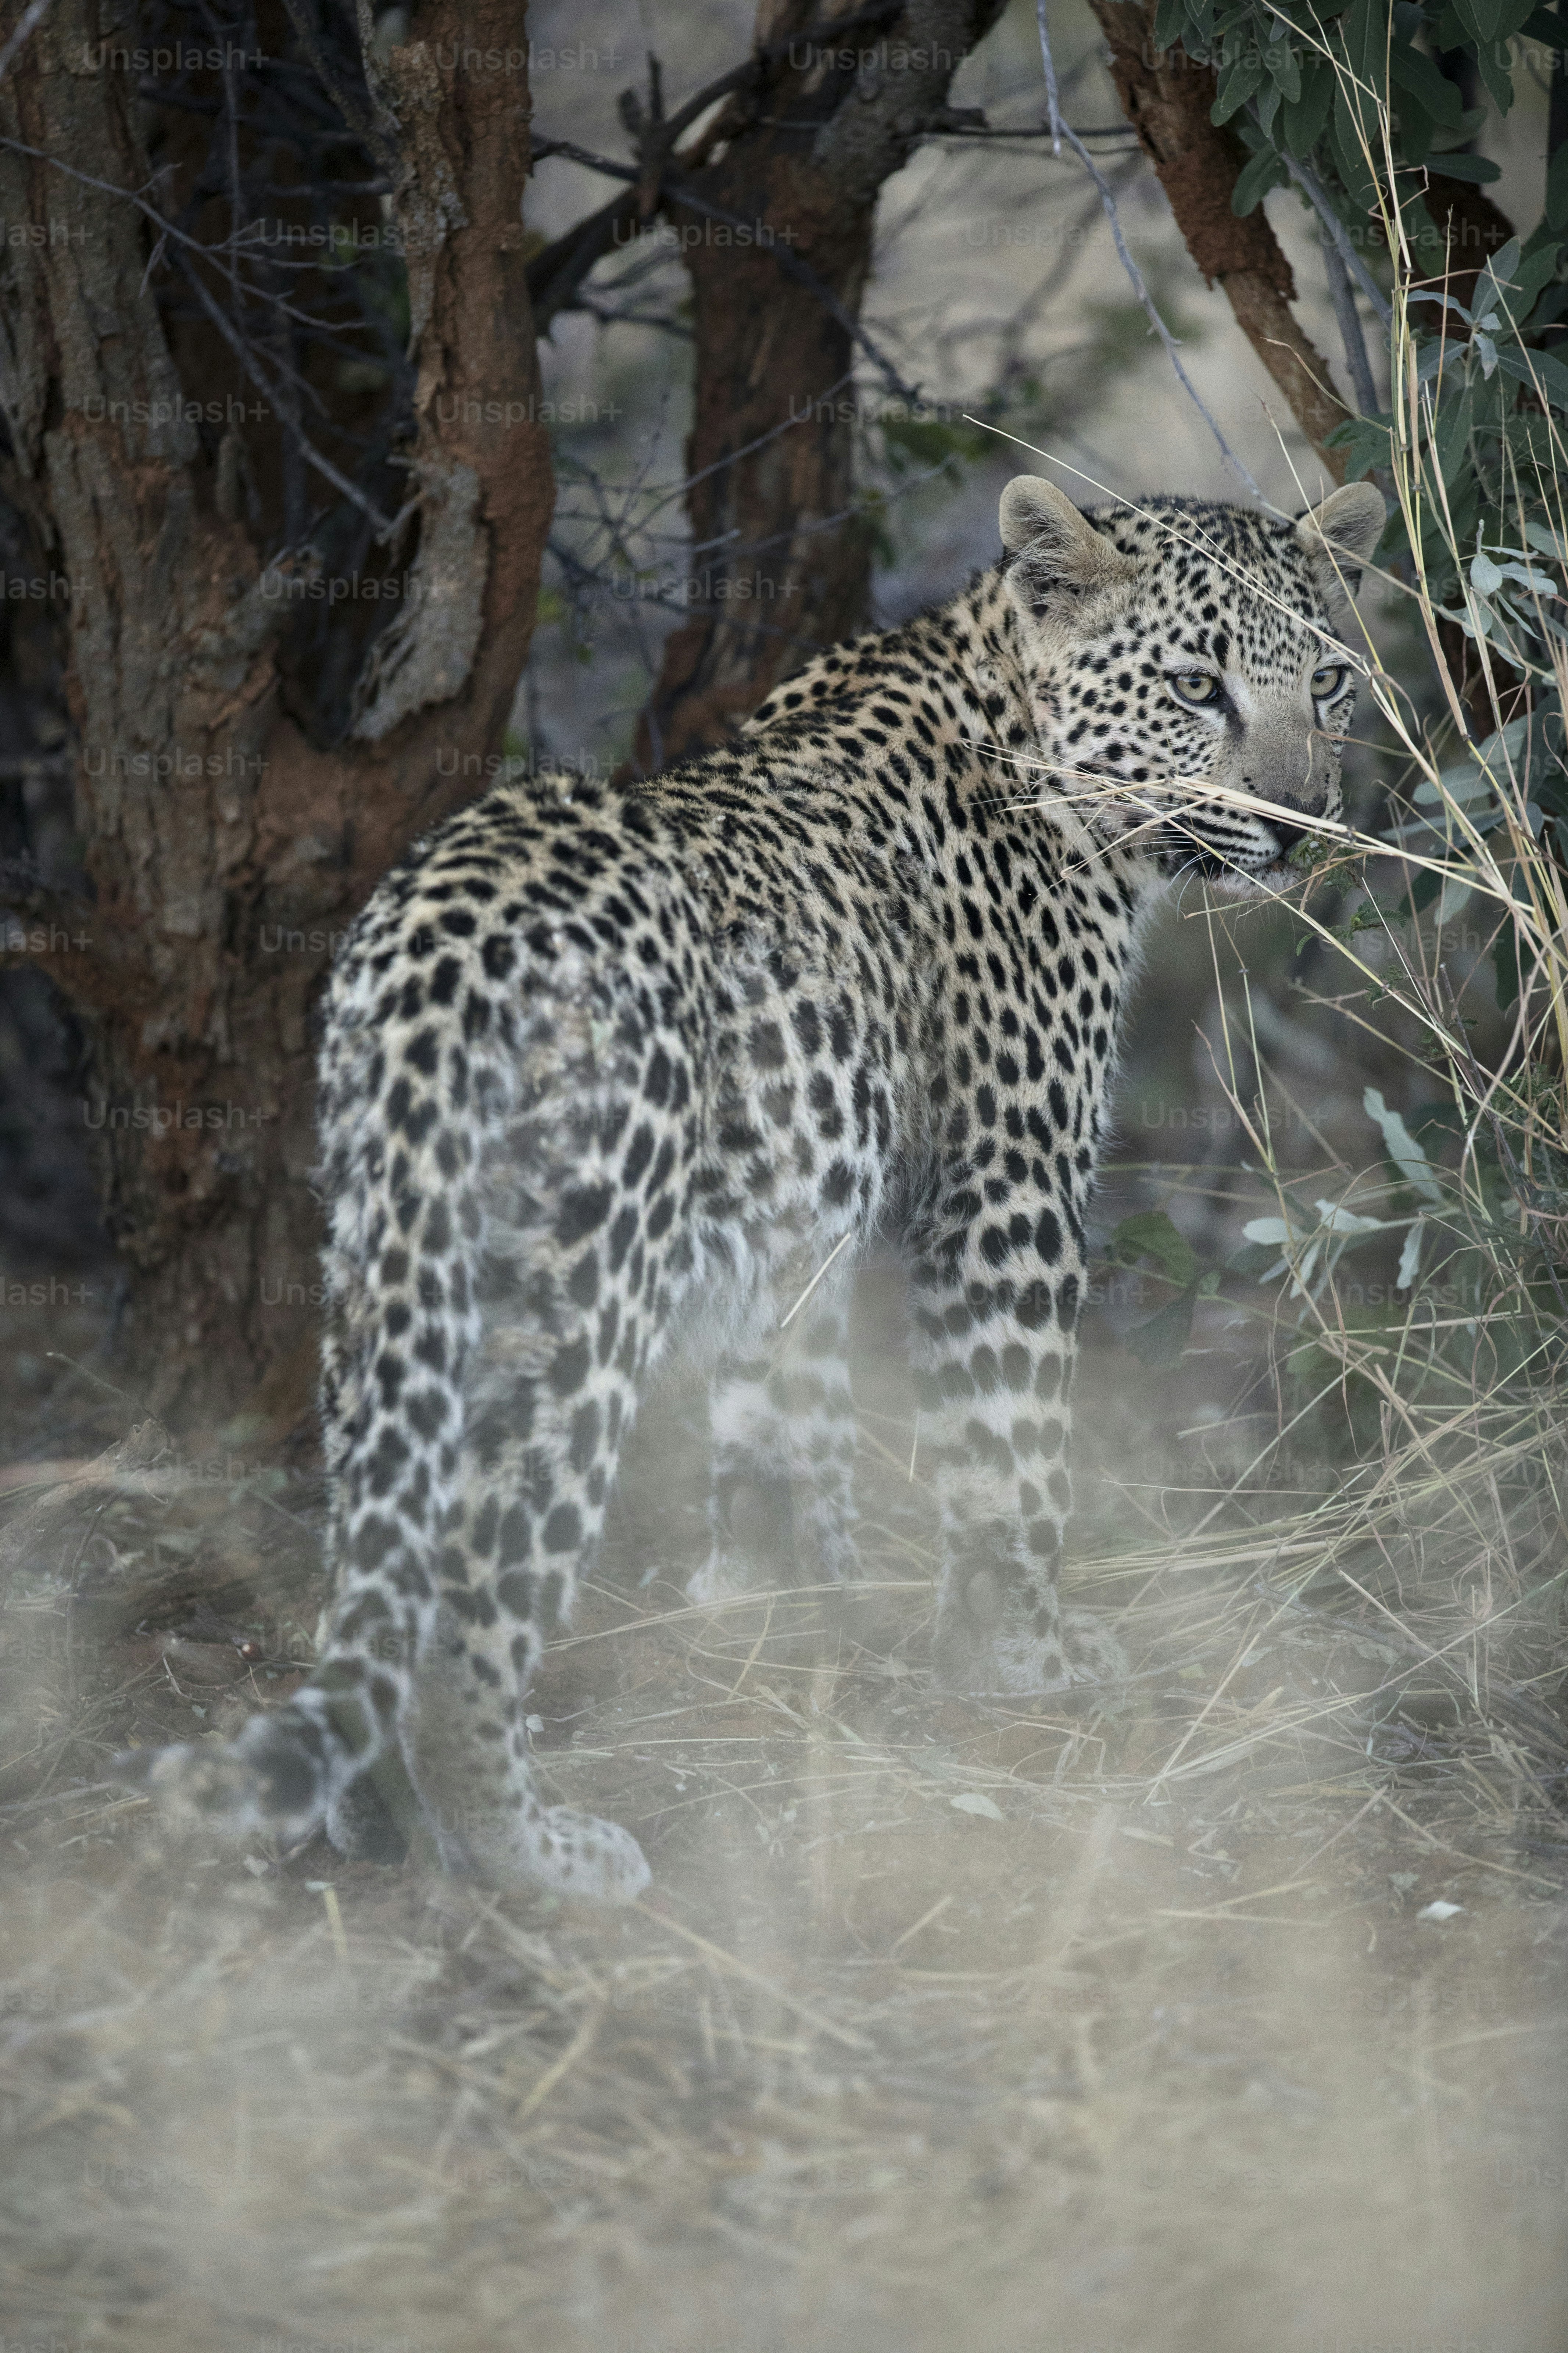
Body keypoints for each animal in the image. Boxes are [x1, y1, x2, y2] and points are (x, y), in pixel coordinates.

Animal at [120, 472, 1385, 1903]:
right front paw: (1025, 1658)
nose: (1298, 821)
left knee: (379, 1534)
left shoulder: (798, 1211)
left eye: (1328, 681)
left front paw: (786, 1594)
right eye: (1195, 686)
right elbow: (1009, 1452)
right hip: (582, 1293)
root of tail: (448, 928)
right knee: (482, 1588)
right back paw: (535, 1847)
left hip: (394, 1255)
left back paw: (374, 1807)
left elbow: (788, 1414)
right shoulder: (1007, 1188)